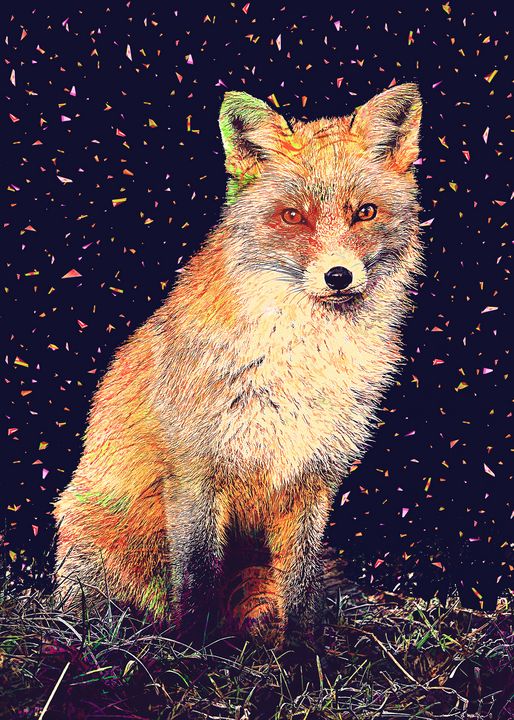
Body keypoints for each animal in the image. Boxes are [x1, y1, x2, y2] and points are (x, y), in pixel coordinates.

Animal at [53, 83, 424, 647]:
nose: (338, 275)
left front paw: (303, 650)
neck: (304, 360)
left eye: (365, 212)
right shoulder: (196, 469)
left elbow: (301, 581)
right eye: (293, 216)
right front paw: (195, 649)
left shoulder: (314, 476)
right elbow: (197, 574)